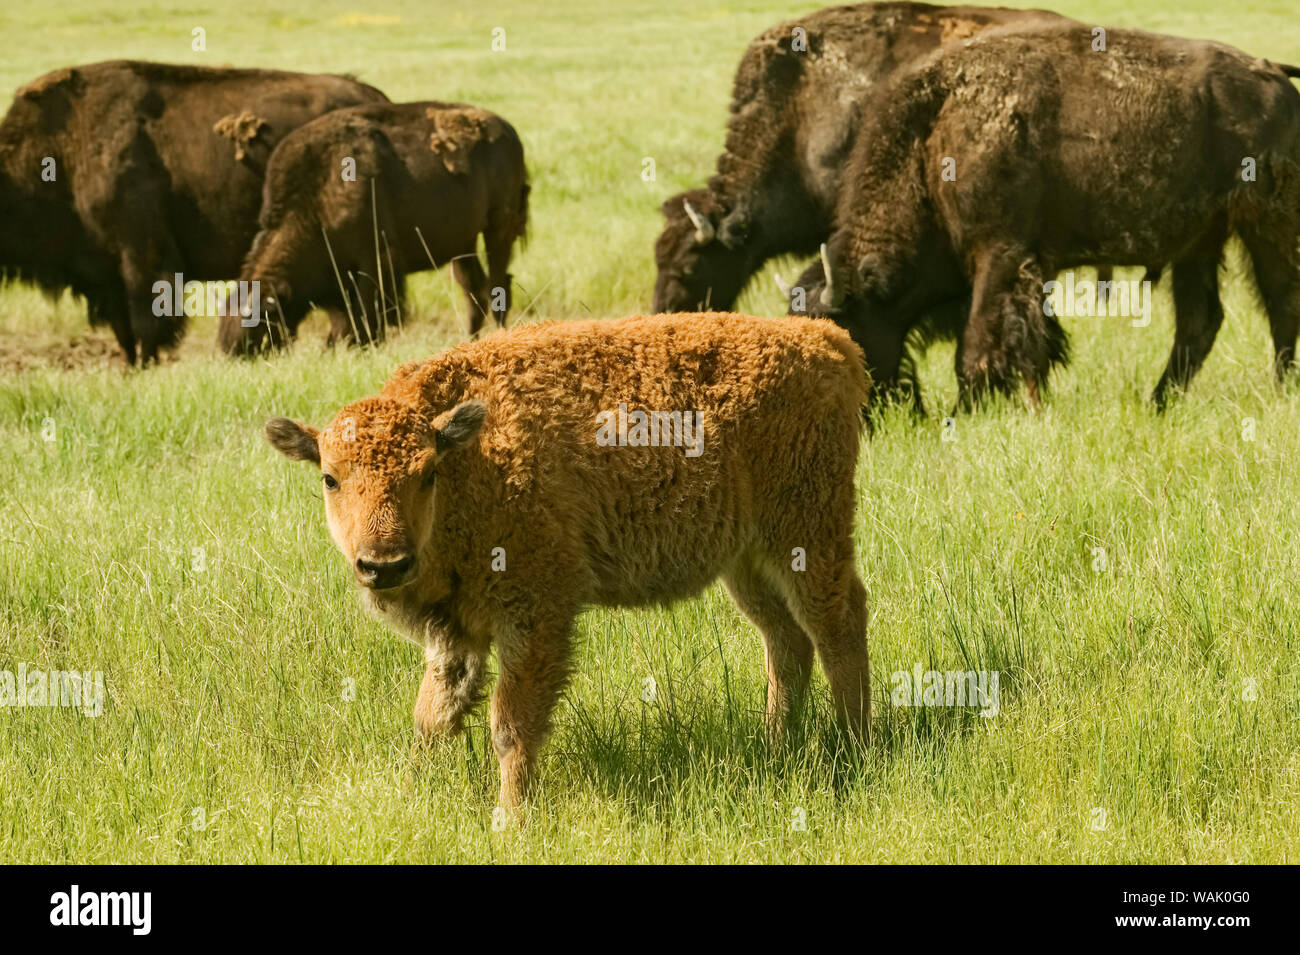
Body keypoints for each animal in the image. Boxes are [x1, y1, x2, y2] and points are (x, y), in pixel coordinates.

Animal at [0, 60, 389, 364]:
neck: (62, 147)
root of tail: (375, 98)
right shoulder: (109, 277)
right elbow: (124, 329)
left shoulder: (141, 258)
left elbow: (145, 322)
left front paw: (146, 365)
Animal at [219, 101, 529, 354]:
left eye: (261, 329)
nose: (239, 356)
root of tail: (508, 131)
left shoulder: (373, 260)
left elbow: (367, 312)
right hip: (463, 244)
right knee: (474, 290)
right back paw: (469, 342)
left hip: (498, 228)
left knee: (498, 285)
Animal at [264, 312, 870, 809]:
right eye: (330, 477)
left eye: (427, 473)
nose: (383, 564)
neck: (472, 463)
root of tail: (828, 341)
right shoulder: (455, 632)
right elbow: (432, 715)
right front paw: (416, 792)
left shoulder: (536, 615)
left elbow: (511, 724)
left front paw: (509, 821)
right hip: (747, 561)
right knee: (786, 642)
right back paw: (776, 745)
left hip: (807, 536)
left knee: (838, 624)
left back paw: (853, 748)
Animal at [793, 25, 1300, 408]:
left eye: (847, 329)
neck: (934, 132)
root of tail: (1274, 73)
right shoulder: (1030, 267)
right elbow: (1034, 341)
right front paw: (1035, 404)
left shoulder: (998, 254)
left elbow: (977, 346)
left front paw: (964, 412)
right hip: (1200, 240)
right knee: (1200, 321)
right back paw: (1157, 403)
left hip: (1266, 223)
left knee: (1281, 302)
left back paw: (1280, 392)